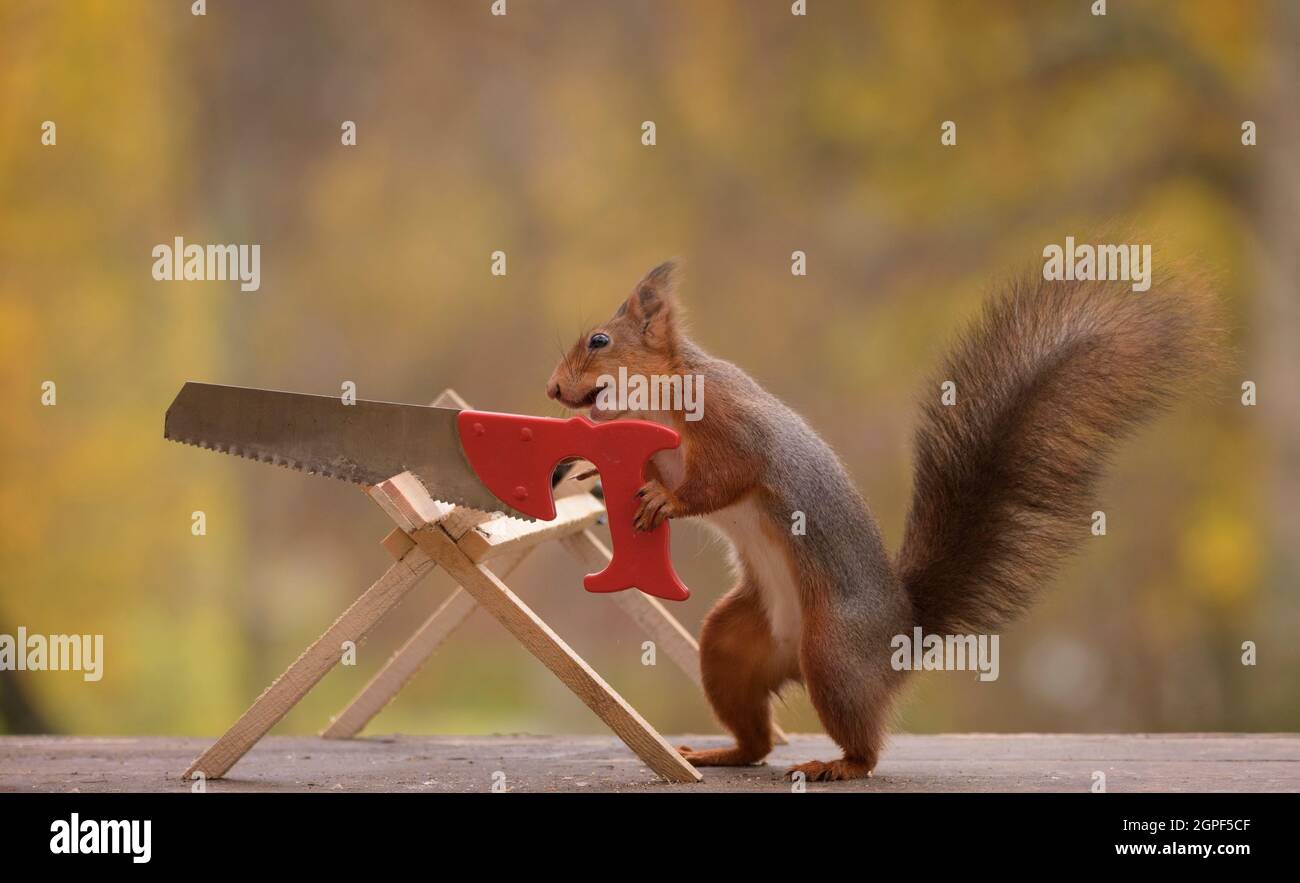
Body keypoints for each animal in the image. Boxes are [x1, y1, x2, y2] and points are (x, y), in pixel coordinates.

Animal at [546, 259, 1221, 781]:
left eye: (600, 342)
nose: (552, 390)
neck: (665, 396)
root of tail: (904, 634)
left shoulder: (731, 427)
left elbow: (722, 479)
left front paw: (667, 499)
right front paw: (591, 473)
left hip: (834, 653)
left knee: (863, 745)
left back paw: (837, 765)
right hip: (732, 644)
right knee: (756, 739)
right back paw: (721, 753)